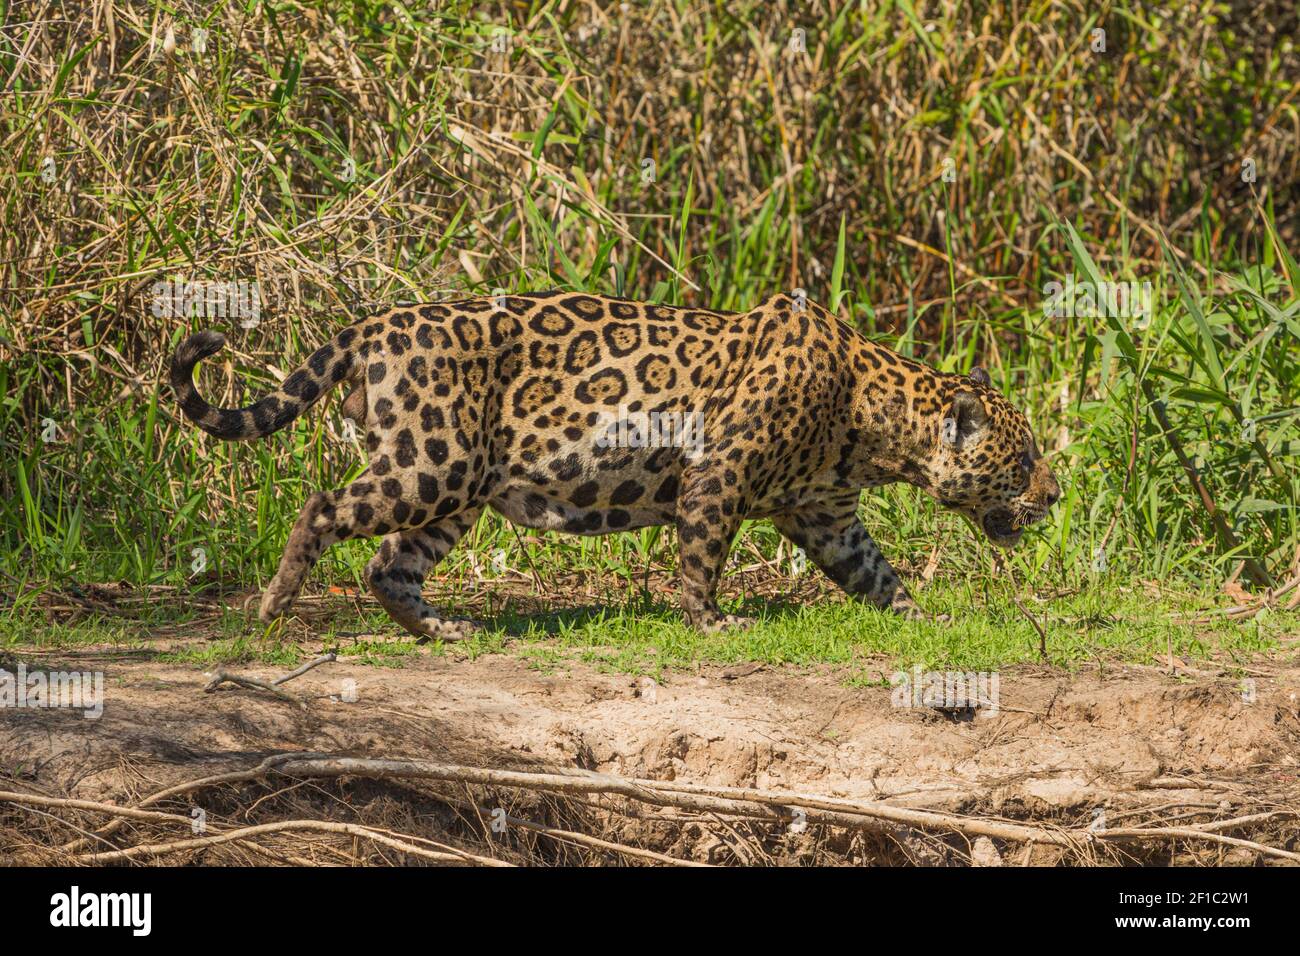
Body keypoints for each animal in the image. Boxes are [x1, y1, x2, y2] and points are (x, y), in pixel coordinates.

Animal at [170, 292, 1060, 639]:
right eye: (1021, 461)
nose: (1055, 496)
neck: (872, 425)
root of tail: (371, 325)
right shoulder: (718, 473)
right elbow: (702, 555)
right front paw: (711, 621)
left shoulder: (826, 515)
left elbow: (876, 572)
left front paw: (922, 618)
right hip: (431, 464)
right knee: (324, 507)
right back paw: (275, 605)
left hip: (458, 486)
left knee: (391, 563)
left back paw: (444, 629)